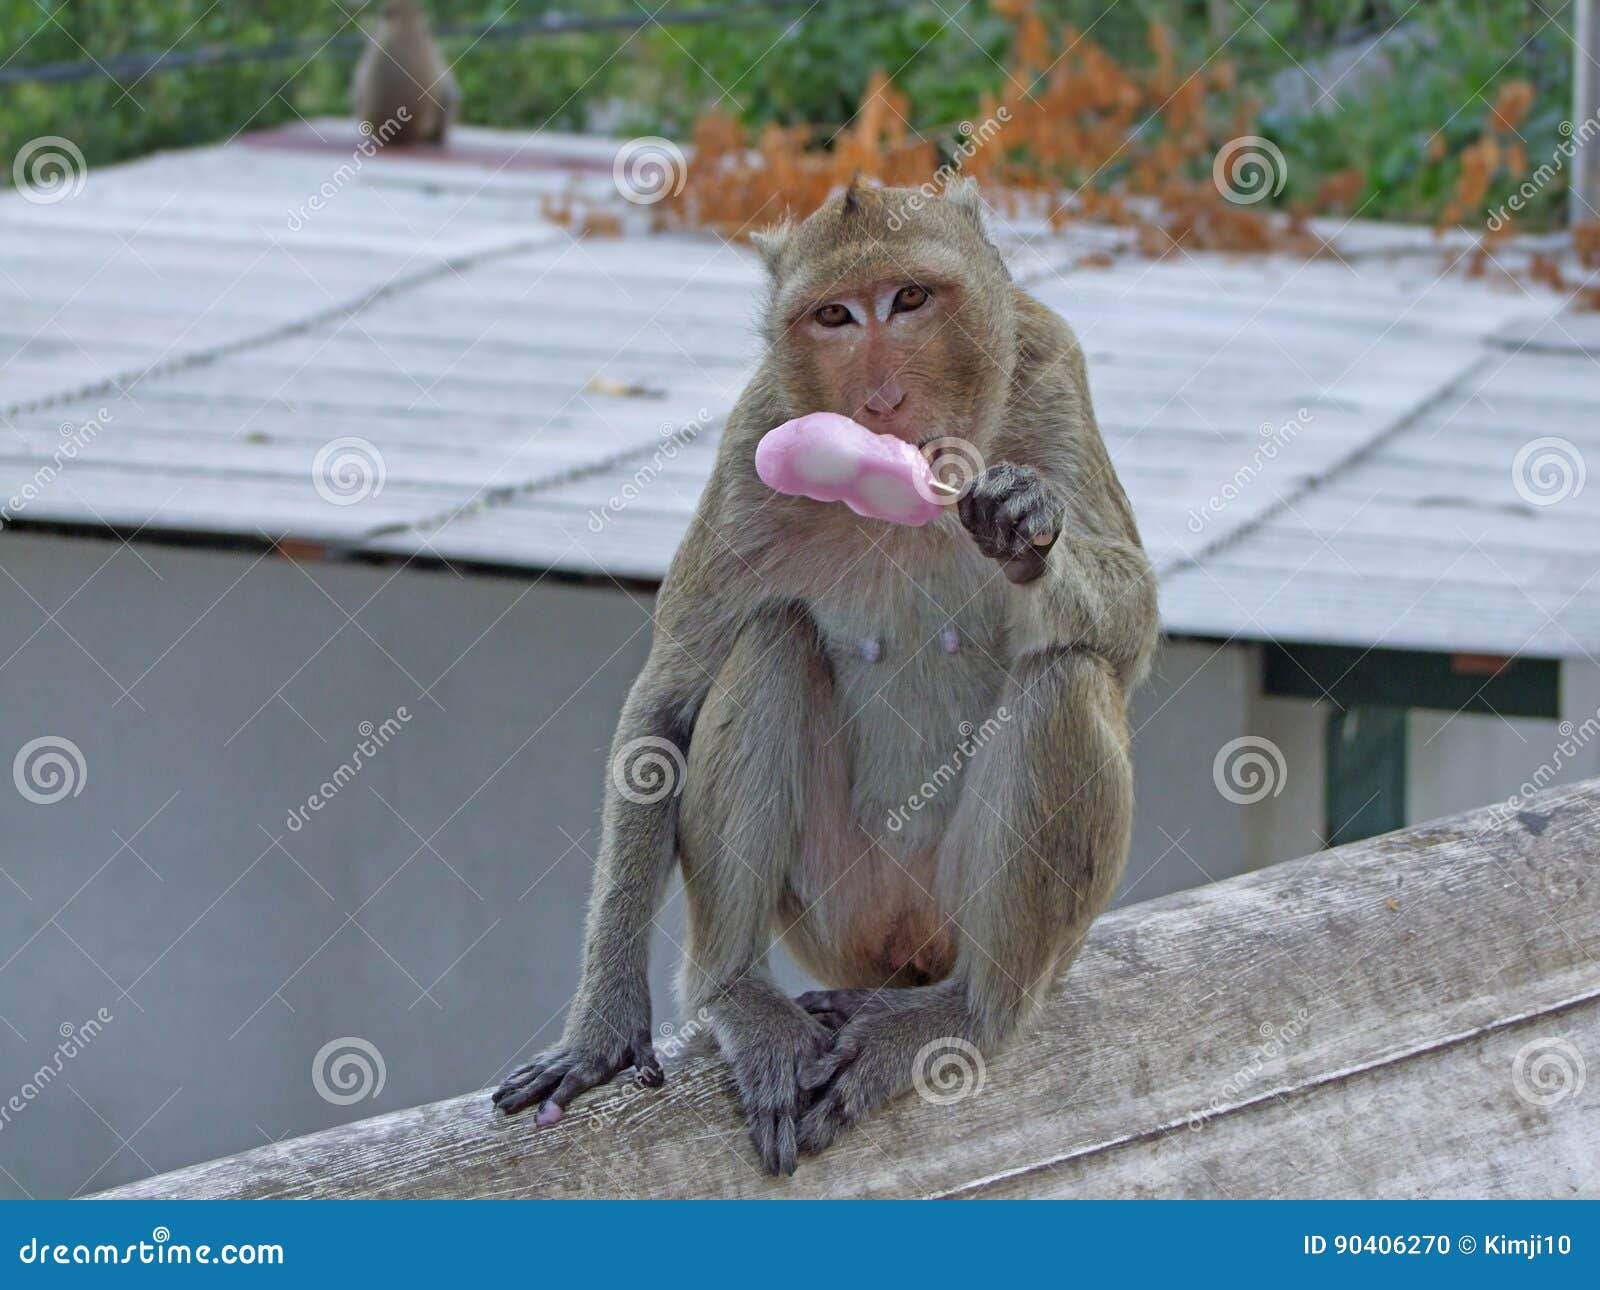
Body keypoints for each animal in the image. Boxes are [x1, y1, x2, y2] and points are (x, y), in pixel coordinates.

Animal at [493, 177, 1160, 1175]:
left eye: (910, 299)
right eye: (836, 317)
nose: (880, 398)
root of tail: (902, 953)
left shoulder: (1053, 371)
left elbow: (1130, 629)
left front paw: (1025, 526)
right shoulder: (756, 436)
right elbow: (667, 708)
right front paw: (602, 1034)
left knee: (1066, 676)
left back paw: (967, 1014)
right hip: (835, 912)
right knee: (772, 640)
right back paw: (735, 995)